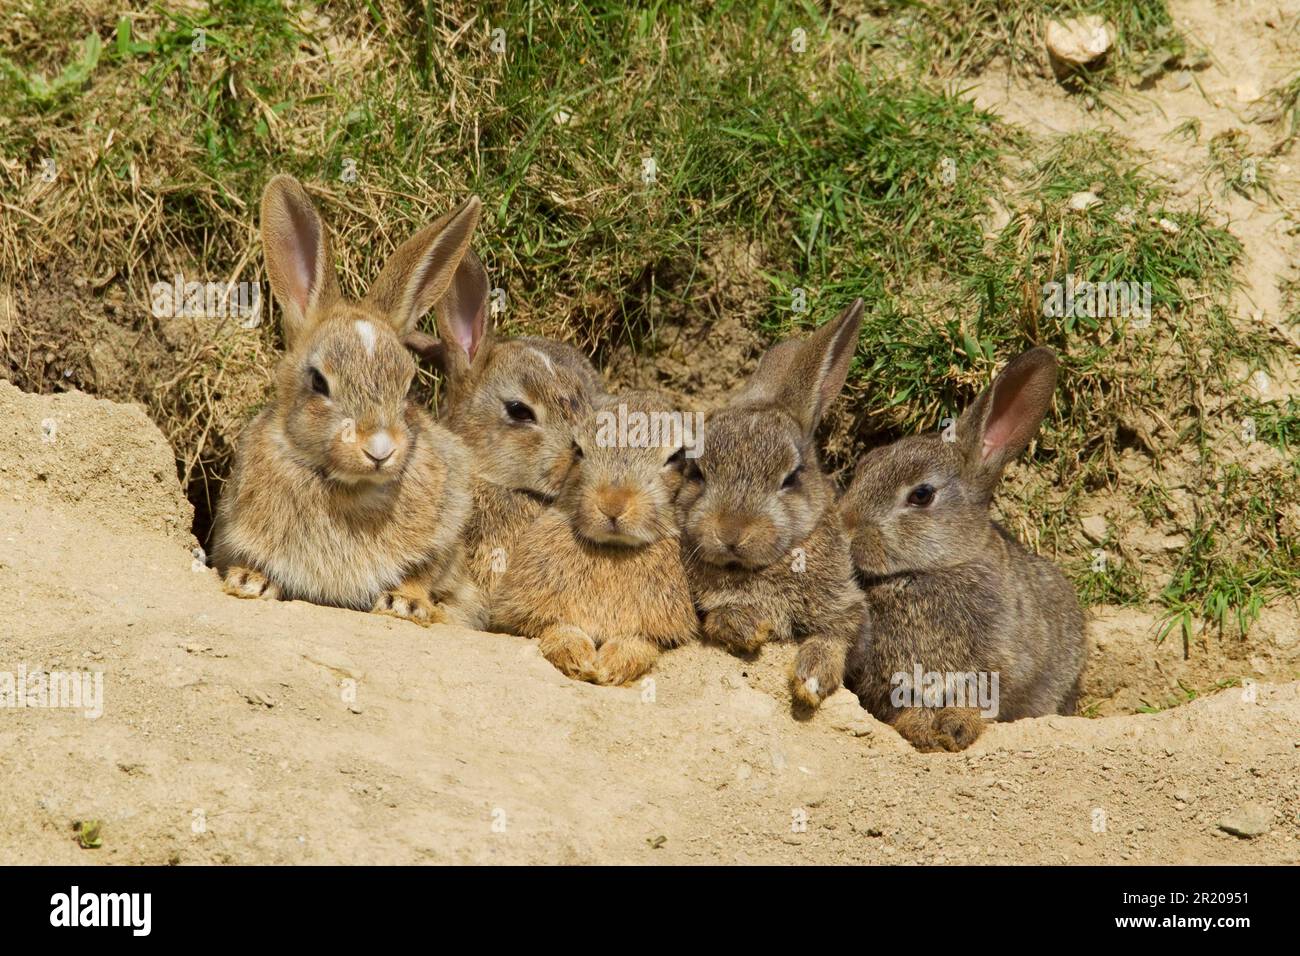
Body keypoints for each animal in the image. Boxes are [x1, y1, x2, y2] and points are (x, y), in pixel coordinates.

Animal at [211, 174, 480, 627]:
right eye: (318, 382)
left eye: (409, 386)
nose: (380, 450)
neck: (348, 487)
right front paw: (250, 581)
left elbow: (427, 572)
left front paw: (405, 604)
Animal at [492, 390, 698, 685]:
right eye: (578, 450)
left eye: (676, 457)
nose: (612, 504)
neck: (612, 547)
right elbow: (557, 629)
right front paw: (579, 660)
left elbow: (640, 643)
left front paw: (610, 667)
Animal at [678, 300, 867, 710]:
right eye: (696, 472)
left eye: (791, 477)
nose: (731, 532)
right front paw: (747, 627)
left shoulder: (846, 608)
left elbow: (836, 636)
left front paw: (812, 679)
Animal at [839, 346, 1087, 752]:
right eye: (863, 466)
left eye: (922, 495)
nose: (845, 528)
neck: (932, 570)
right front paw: (922, 730)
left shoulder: (996, 668)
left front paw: (955, 728)